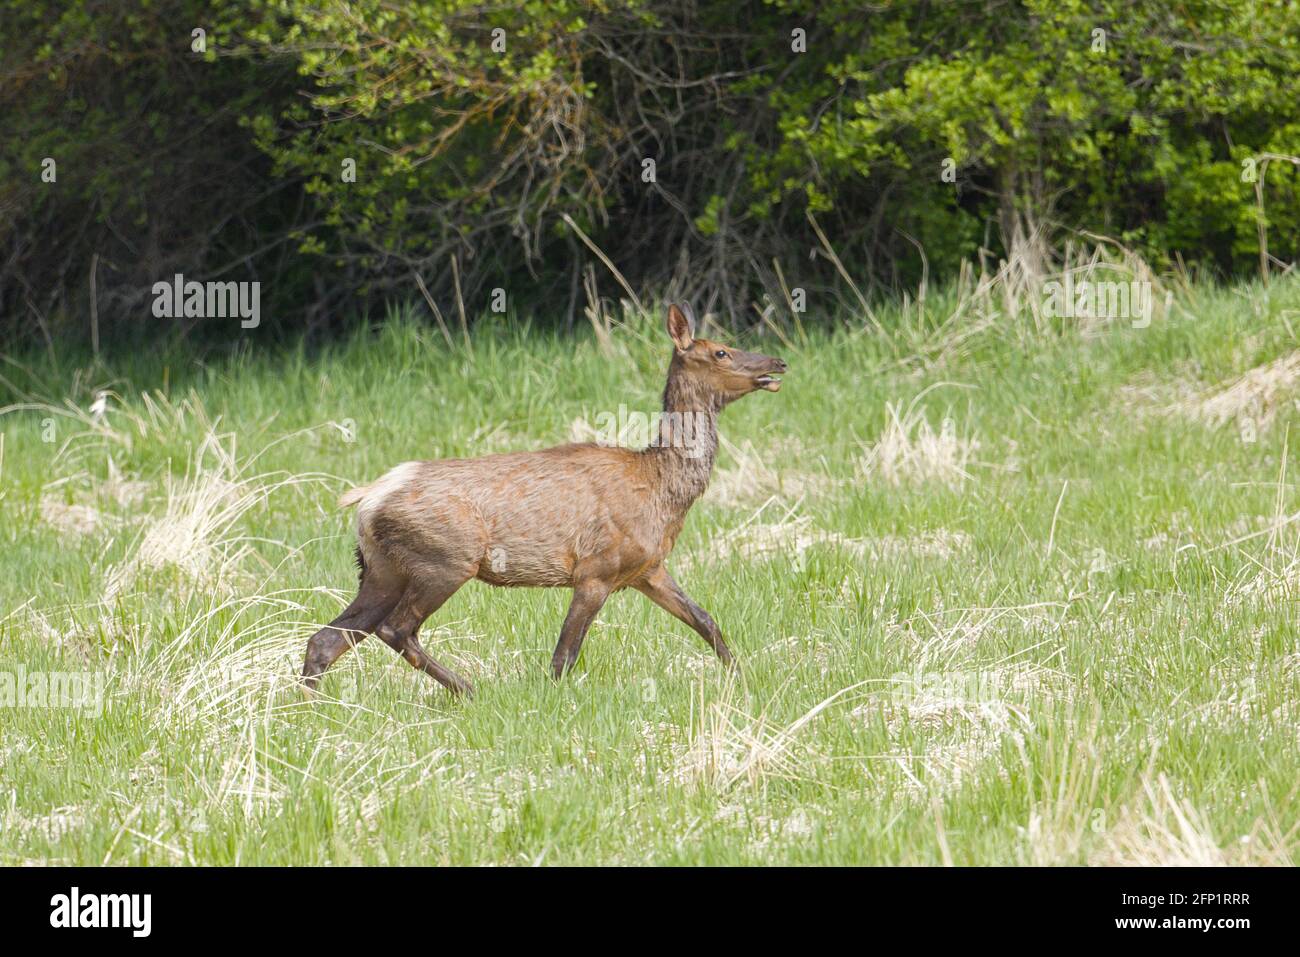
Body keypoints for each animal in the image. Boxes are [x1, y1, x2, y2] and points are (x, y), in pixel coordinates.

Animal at [301, 302, 787, 696]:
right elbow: (564, 655)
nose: (778, 361)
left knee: (327, 639)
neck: (662, 489)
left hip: (382, 569)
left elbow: (706, 620)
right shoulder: (596, 569)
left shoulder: (647, 568)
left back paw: (313, 707)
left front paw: (743, 678)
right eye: (721, 351)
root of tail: (368, 498)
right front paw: (551, 699)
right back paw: (468, 689)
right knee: (396, 629)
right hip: (445, 558)